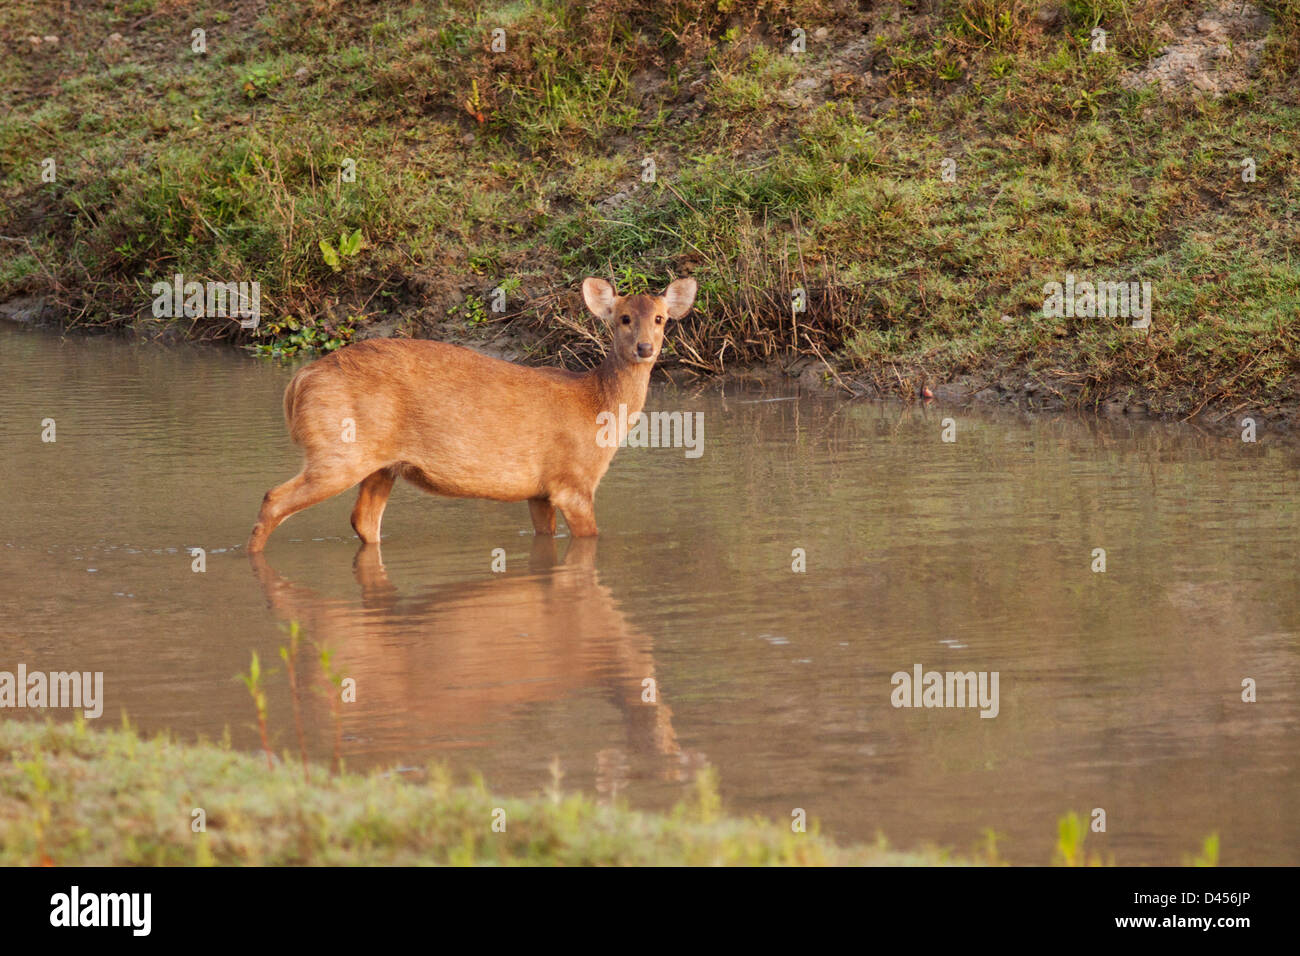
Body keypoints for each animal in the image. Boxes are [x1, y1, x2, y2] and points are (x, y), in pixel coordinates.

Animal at [246, 277, 697, 552]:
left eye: (660, 319)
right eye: (624, 318)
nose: (644, 348)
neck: (596, 404)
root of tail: (299, 381)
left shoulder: (539, 490)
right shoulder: (573, 481)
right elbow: (590, 538)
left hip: (381, 464)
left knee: (363, 520)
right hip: (337, 449)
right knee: (272, 499)